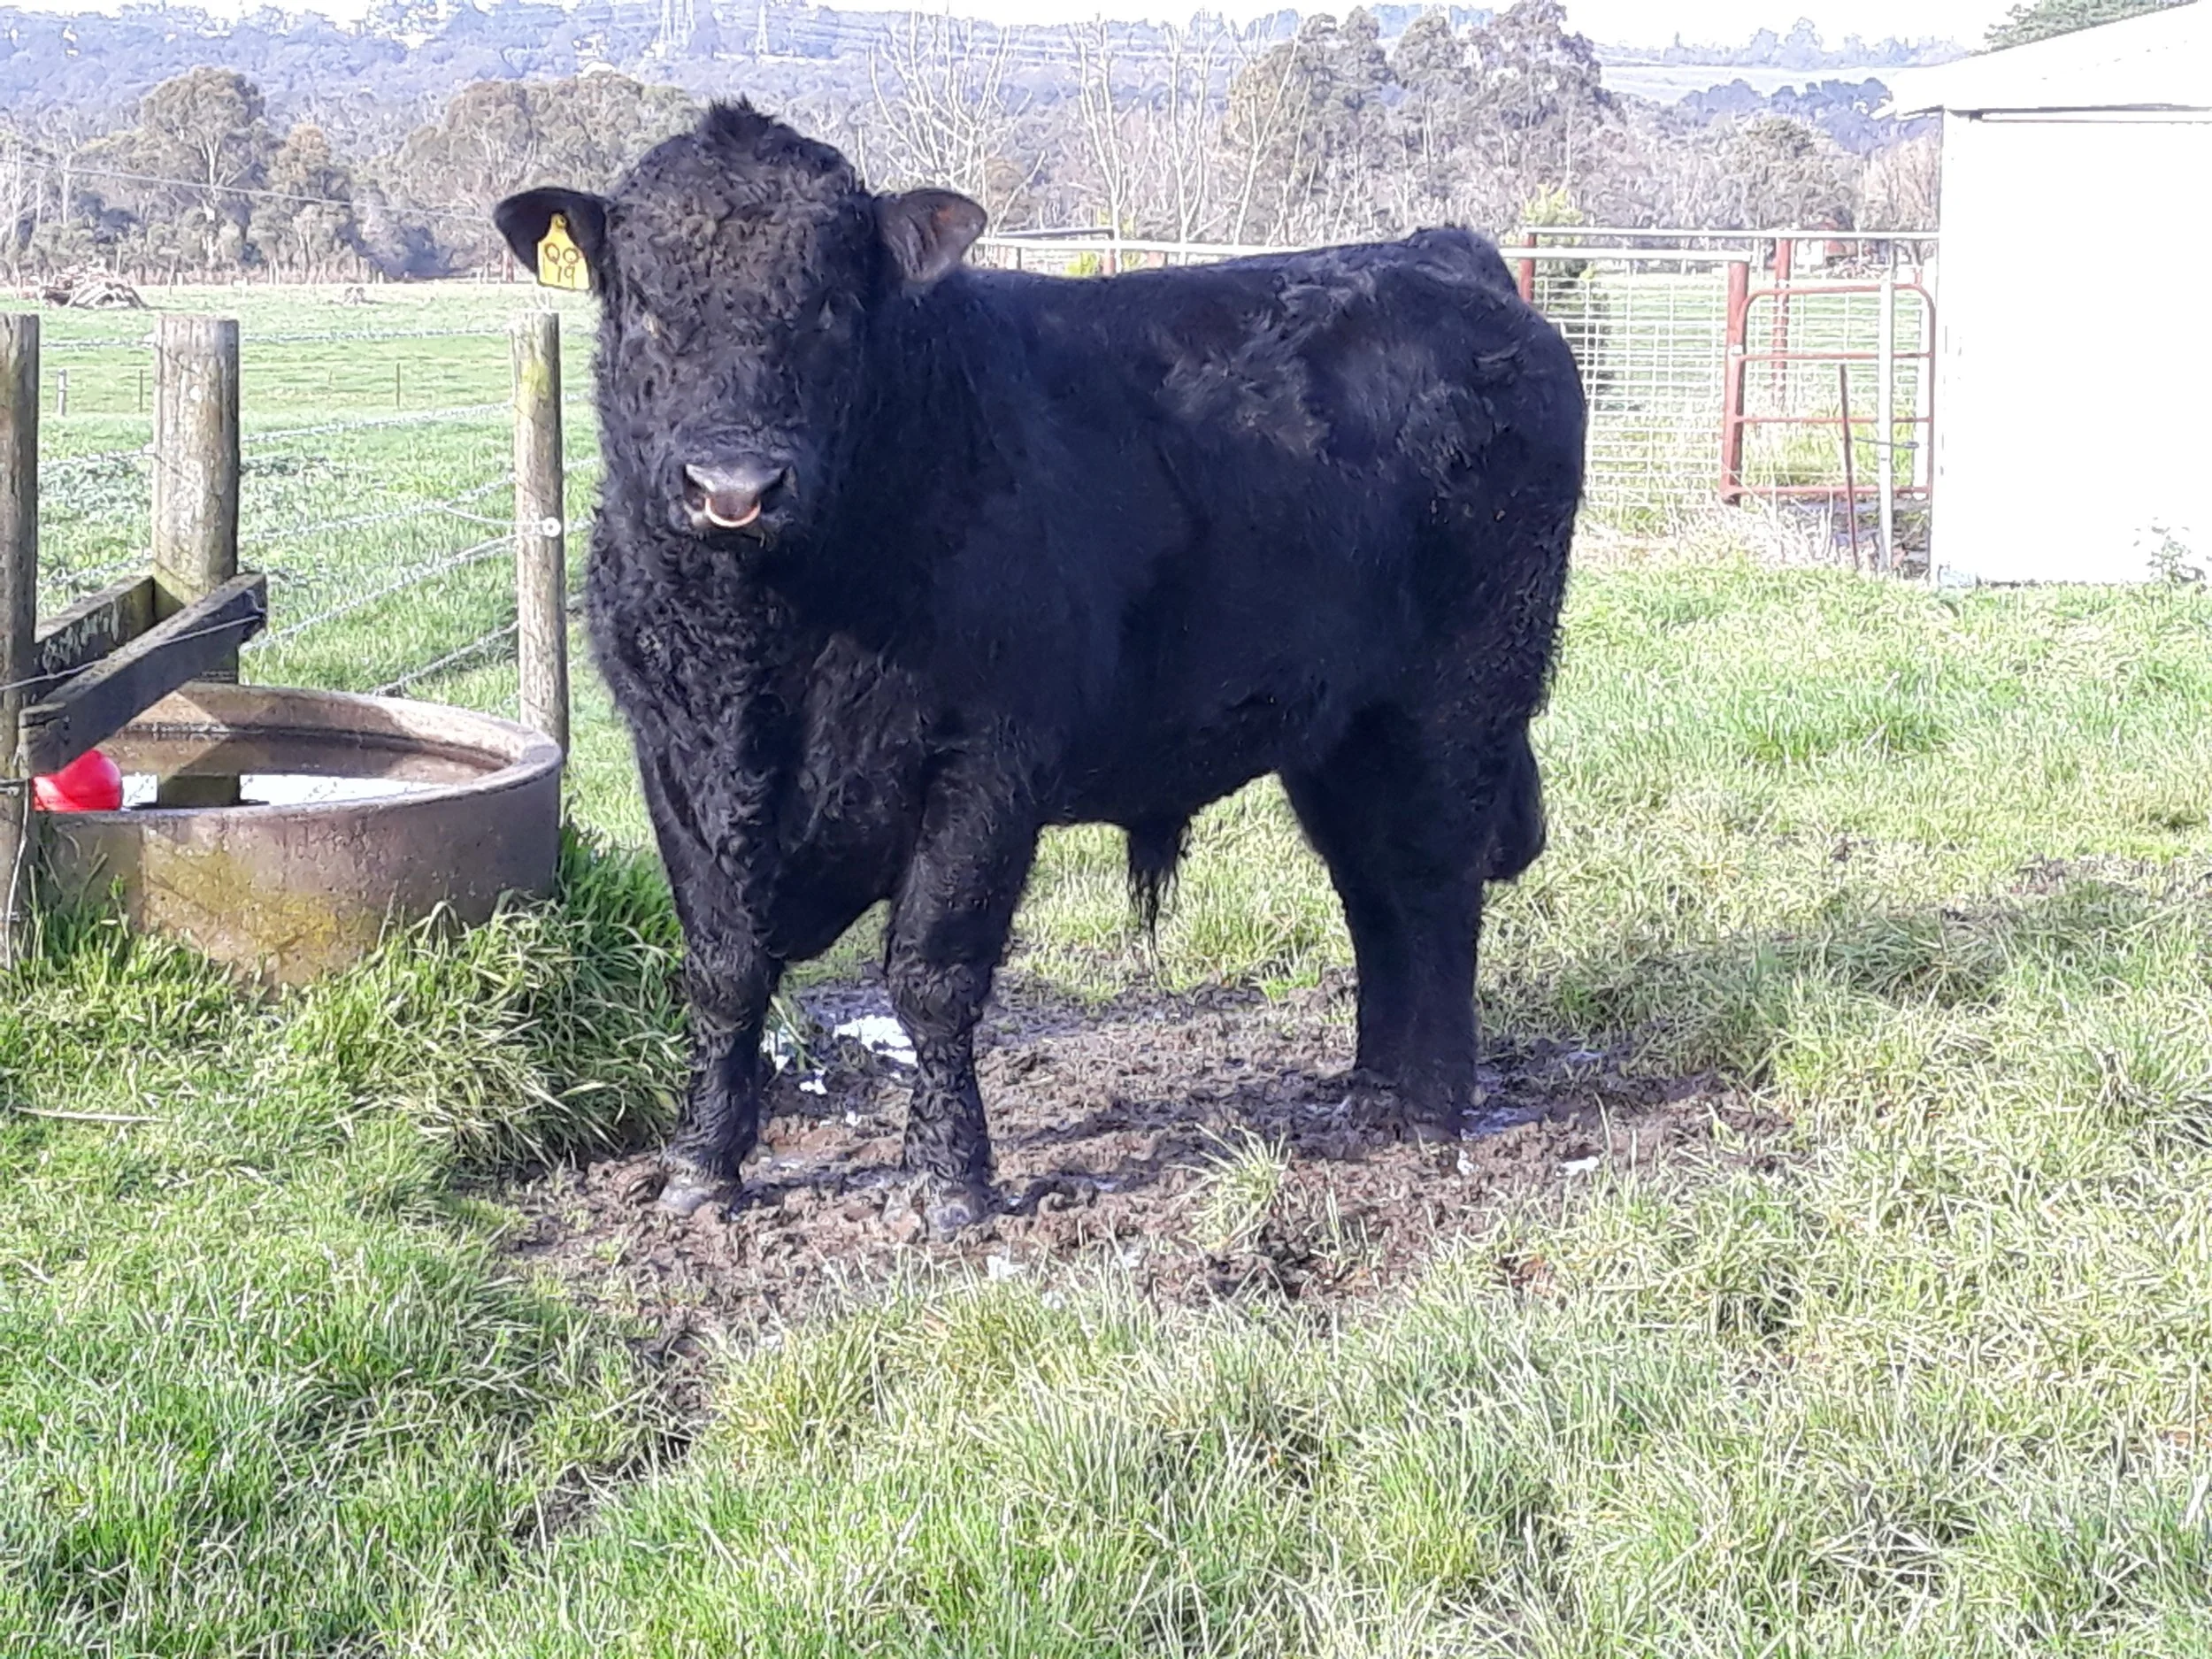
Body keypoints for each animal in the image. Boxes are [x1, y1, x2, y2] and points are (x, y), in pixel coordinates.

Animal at [494, 102, 1585, 1233]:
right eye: (641, 305)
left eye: (833, 306)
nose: (733, 485)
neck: (767, 649)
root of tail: (1439, 255)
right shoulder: (674, 757)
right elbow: (722, 967)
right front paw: (702, 1166)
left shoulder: (985, 761)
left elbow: (932, 973)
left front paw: (951, 1179)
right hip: (1340, 730)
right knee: (1372, 889)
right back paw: (1369, 1094)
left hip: (1458, 700)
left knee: (1432, 881)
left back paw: (1430, 1108)